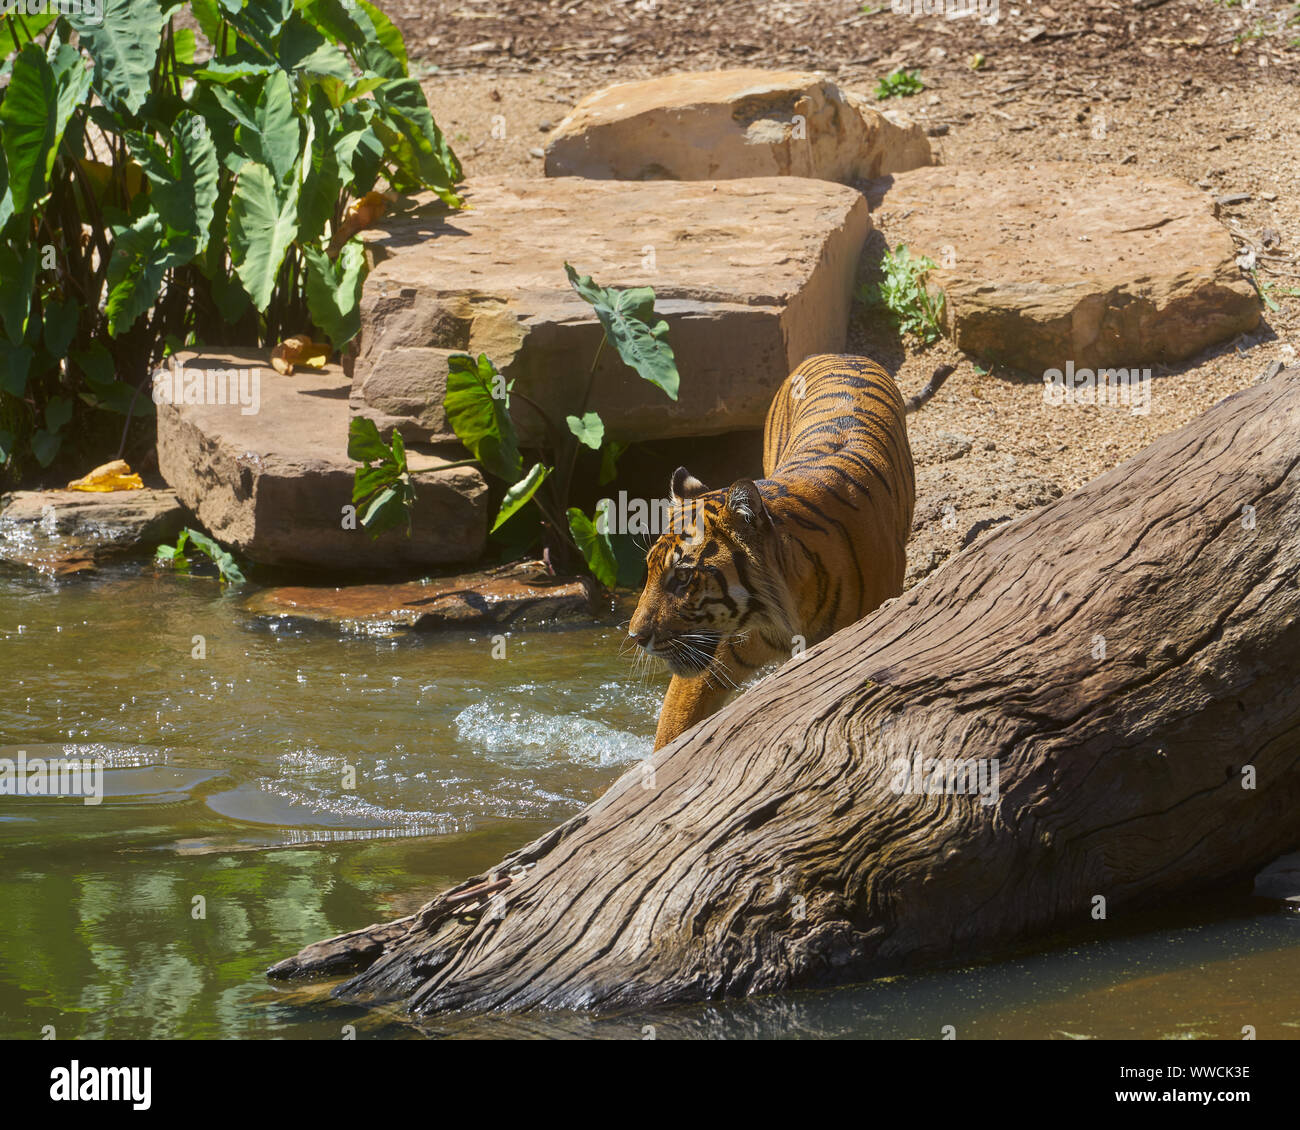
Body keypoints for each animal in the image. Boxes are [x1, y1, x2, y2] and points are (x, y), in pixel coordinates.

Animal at [627, 354, 944, 750]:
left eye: (683, 577)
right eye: (650, 571)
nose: (636, 638)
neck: (786, 611)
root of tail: (842, 354)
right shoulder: (712, 660)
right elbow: (673, 734)